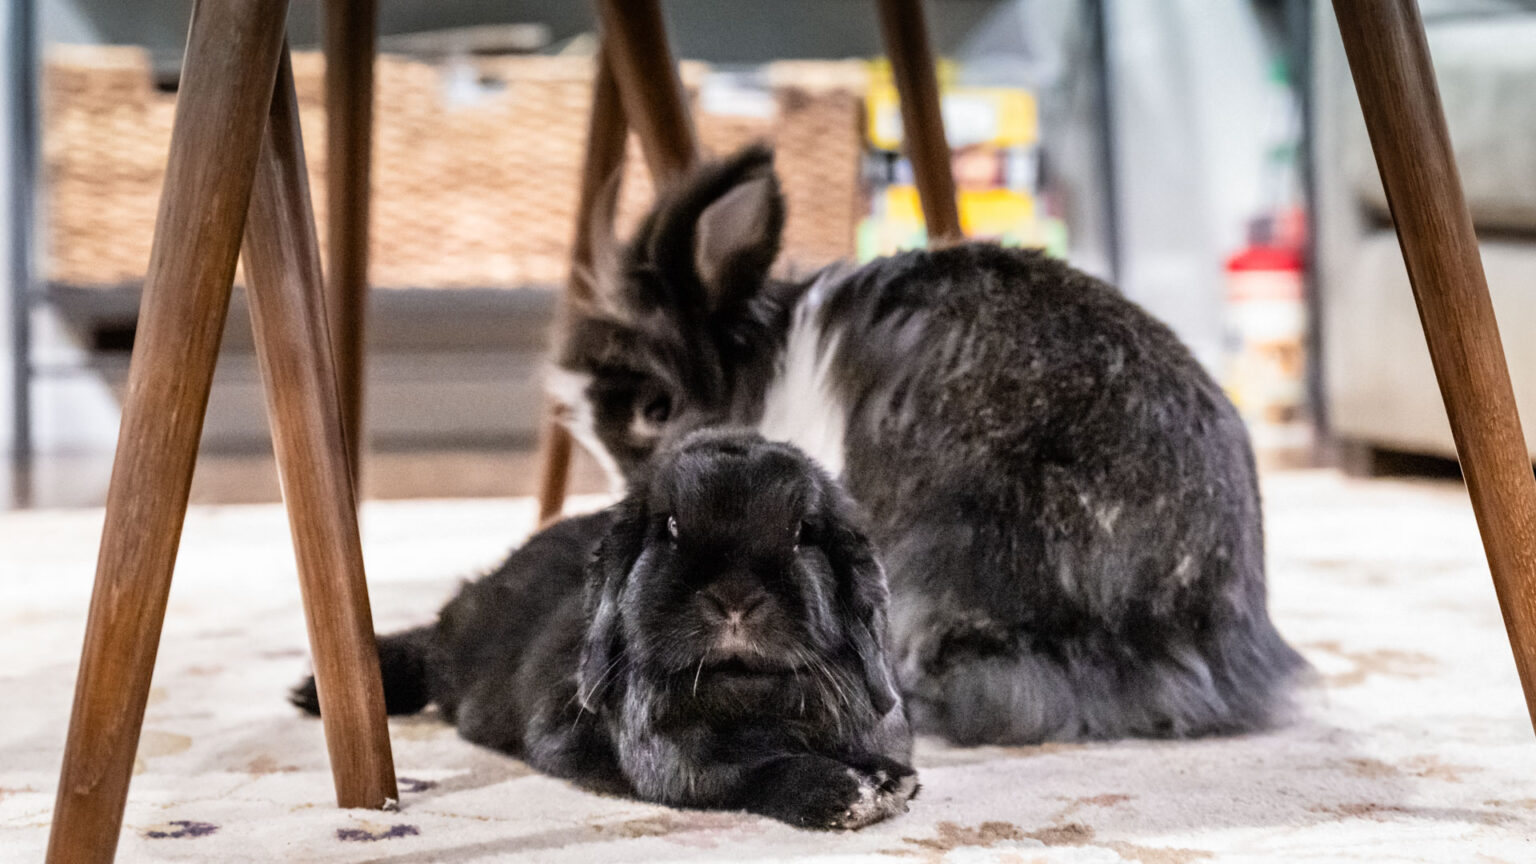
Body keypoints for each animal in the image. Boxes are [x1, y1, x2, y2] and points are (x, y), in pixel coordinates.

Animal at [292, 430, 917, 830]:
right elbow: (746, 774)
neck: (747, 699)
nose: (735, 599)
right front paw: (846, 792)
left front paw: (889, 780)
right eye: (671, 528)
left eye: (803, 532)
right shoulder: (680, 772)